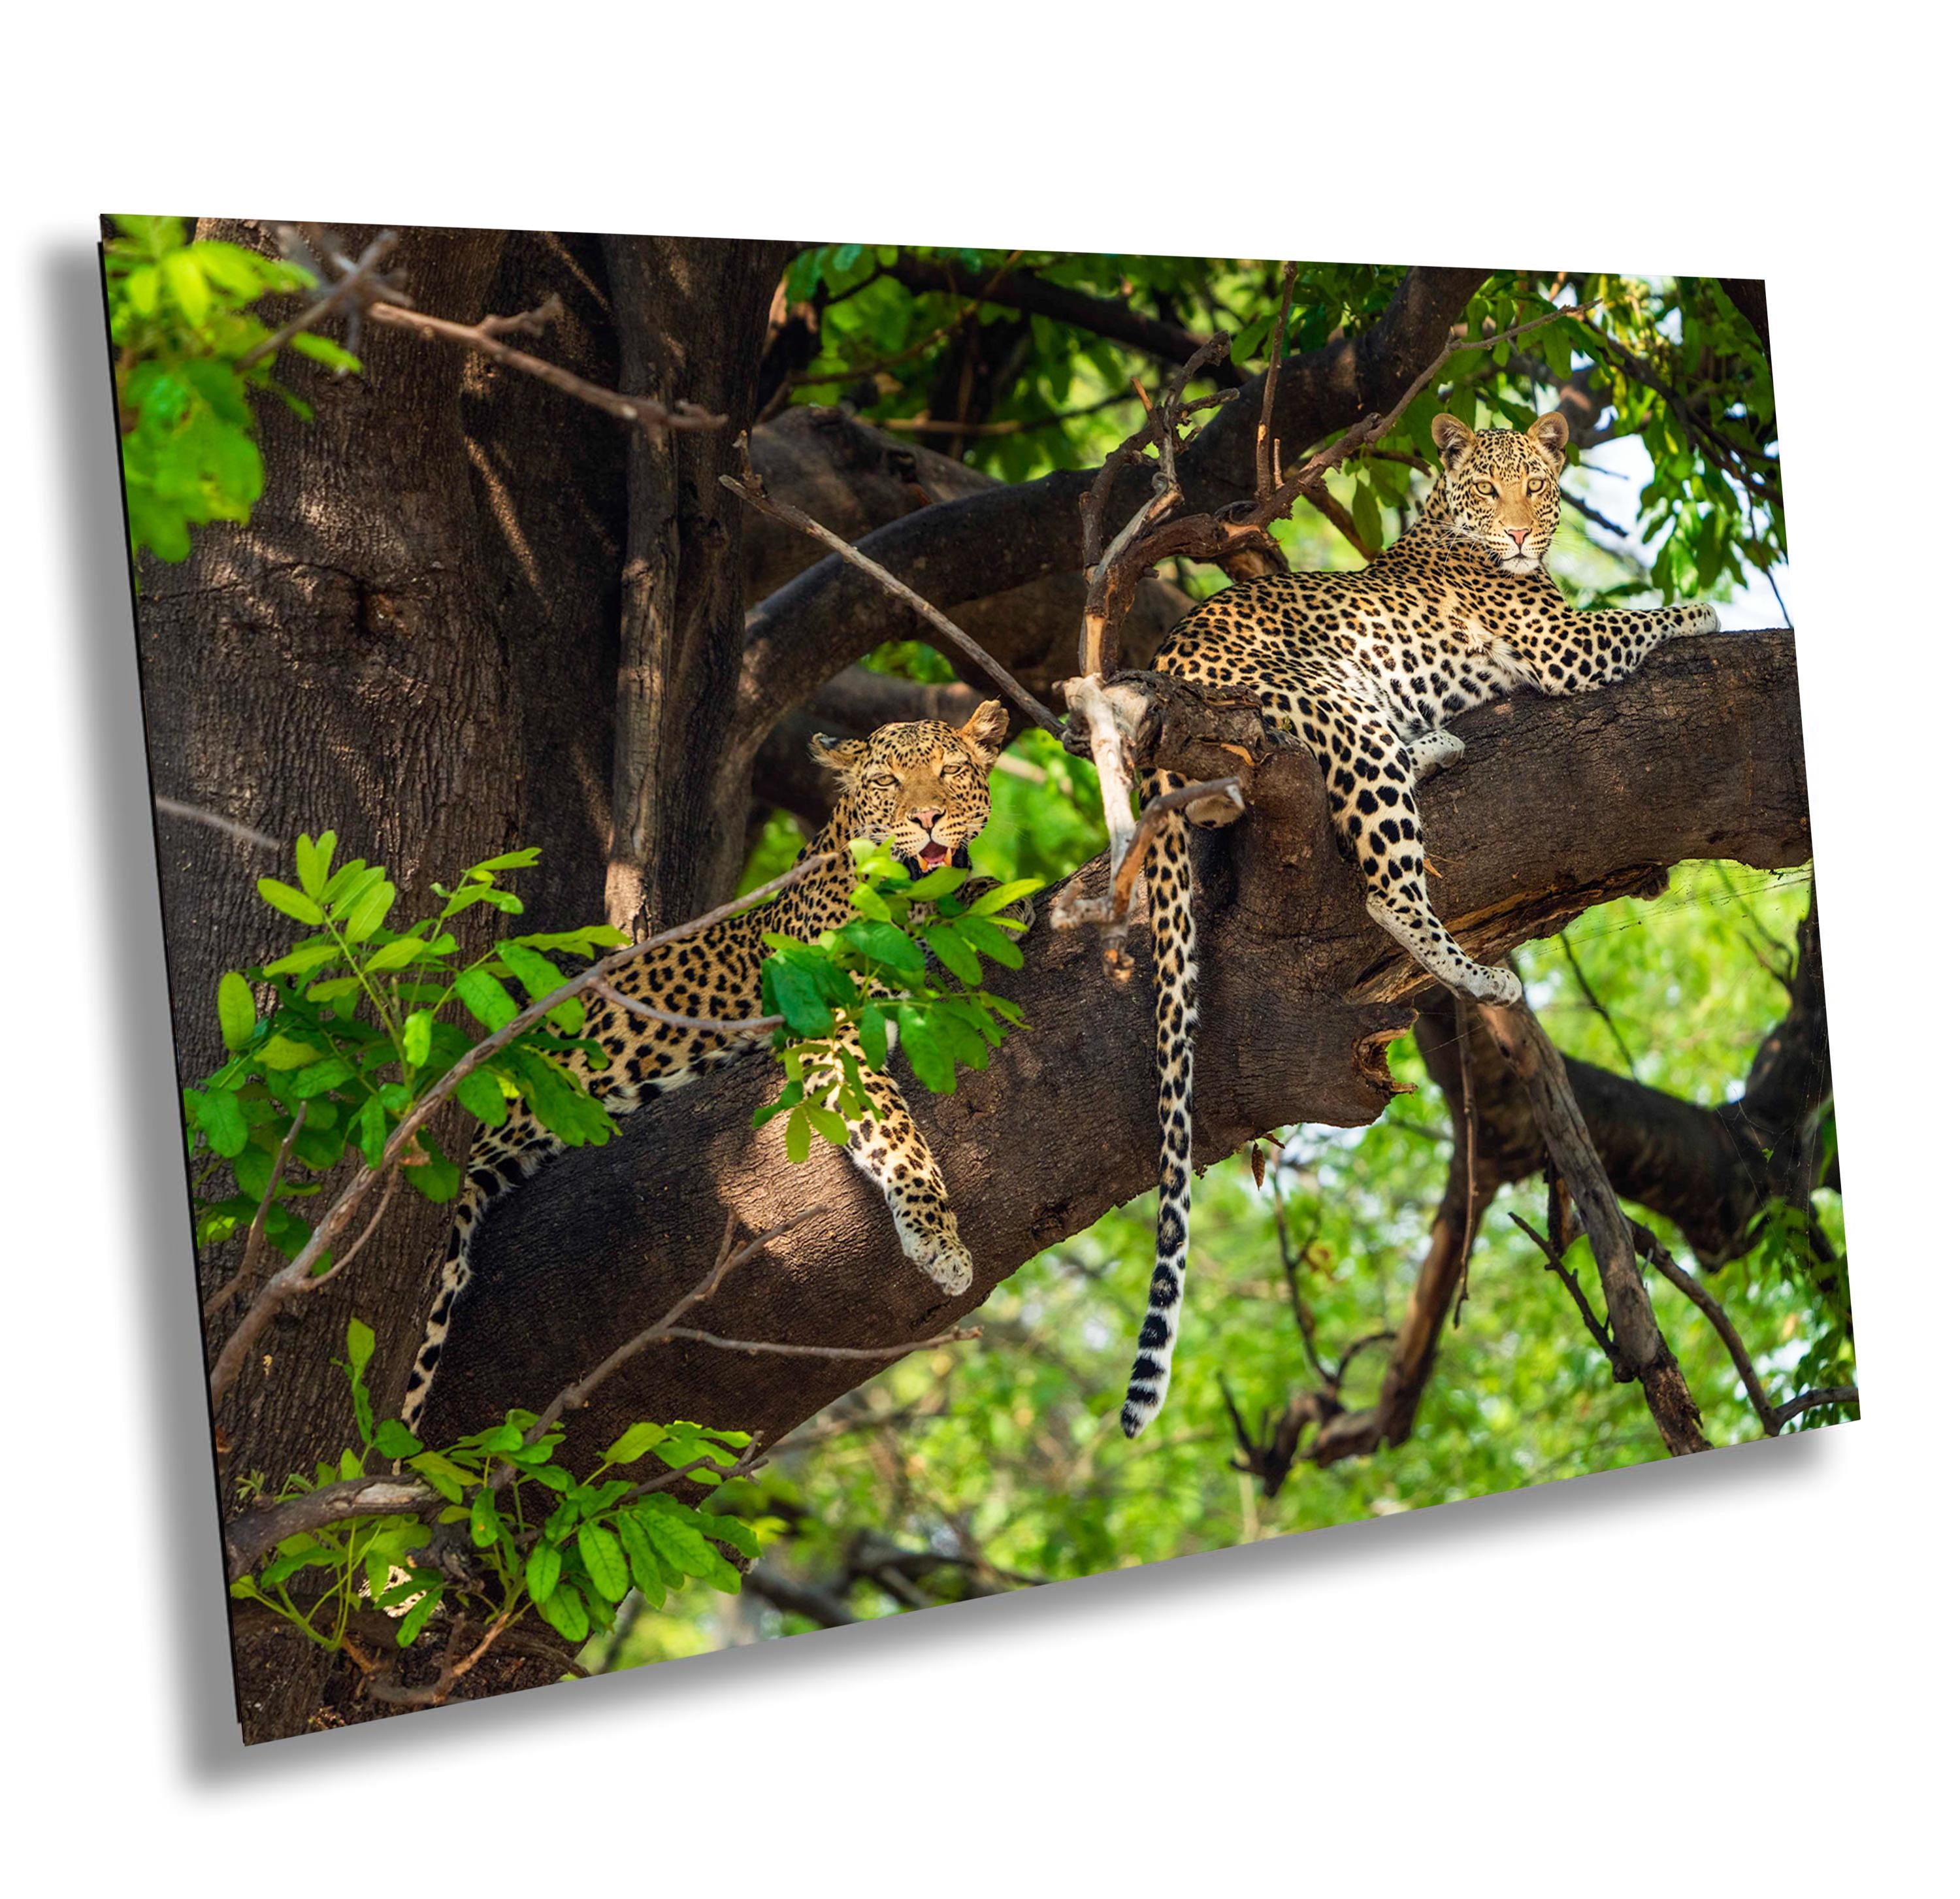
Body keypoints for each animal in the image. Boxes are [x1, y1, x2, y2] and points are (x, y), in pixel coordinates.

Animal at [399, 700, 1014, 1434]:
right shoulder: (828, 1031)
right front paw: (935, 1236)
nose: (926, 818)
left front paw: (999, 899)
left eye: (951, 771)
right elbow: (894, 1133)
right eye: (888, 782)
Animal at [1119, 408, 1721, 1437]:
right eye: (1490, 489)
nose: (1518, 533)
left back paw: (1436, 745)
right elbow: (1645, 617)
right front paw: (1705, 610)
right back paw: (1478, 968)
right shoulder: (1568, 646)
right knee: (1384, 893)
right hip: (1337, 710)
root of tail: (1165, 673)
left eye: (1537, 486)